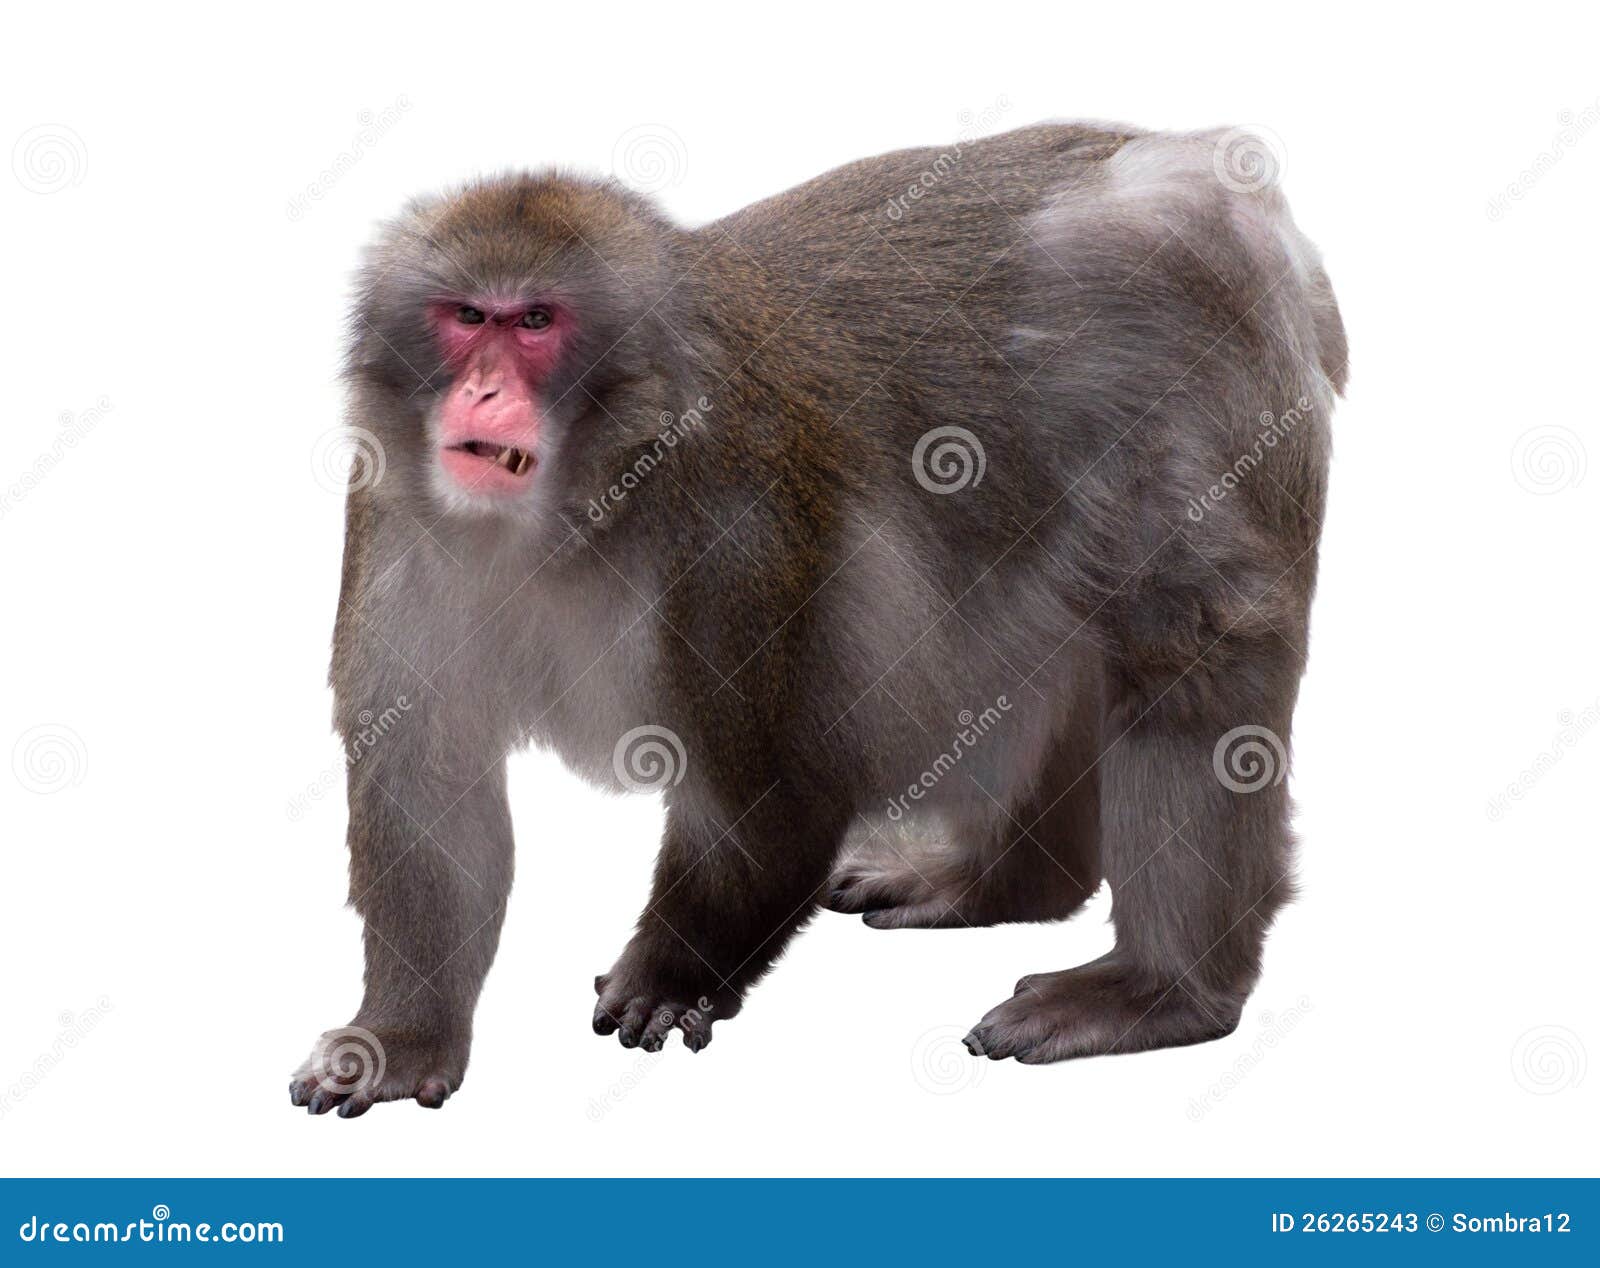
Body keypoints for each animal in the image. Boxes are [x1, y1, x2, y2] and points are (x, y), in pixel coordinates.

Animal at [288, 121, 1345, 1115]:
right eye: (468, 318)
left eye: (536, 322)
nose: (482, 392)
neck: (587, 498)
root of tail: (1190, 161)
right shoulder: (390, 510)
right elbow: (429, 785)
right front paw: (405, 1036)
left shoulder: (736, 523)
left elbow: (778, 790)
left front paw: (673, 974)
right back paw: (1000, 884)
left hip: (1202, 397)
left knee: (1191, 645)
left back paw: (1164, 989)